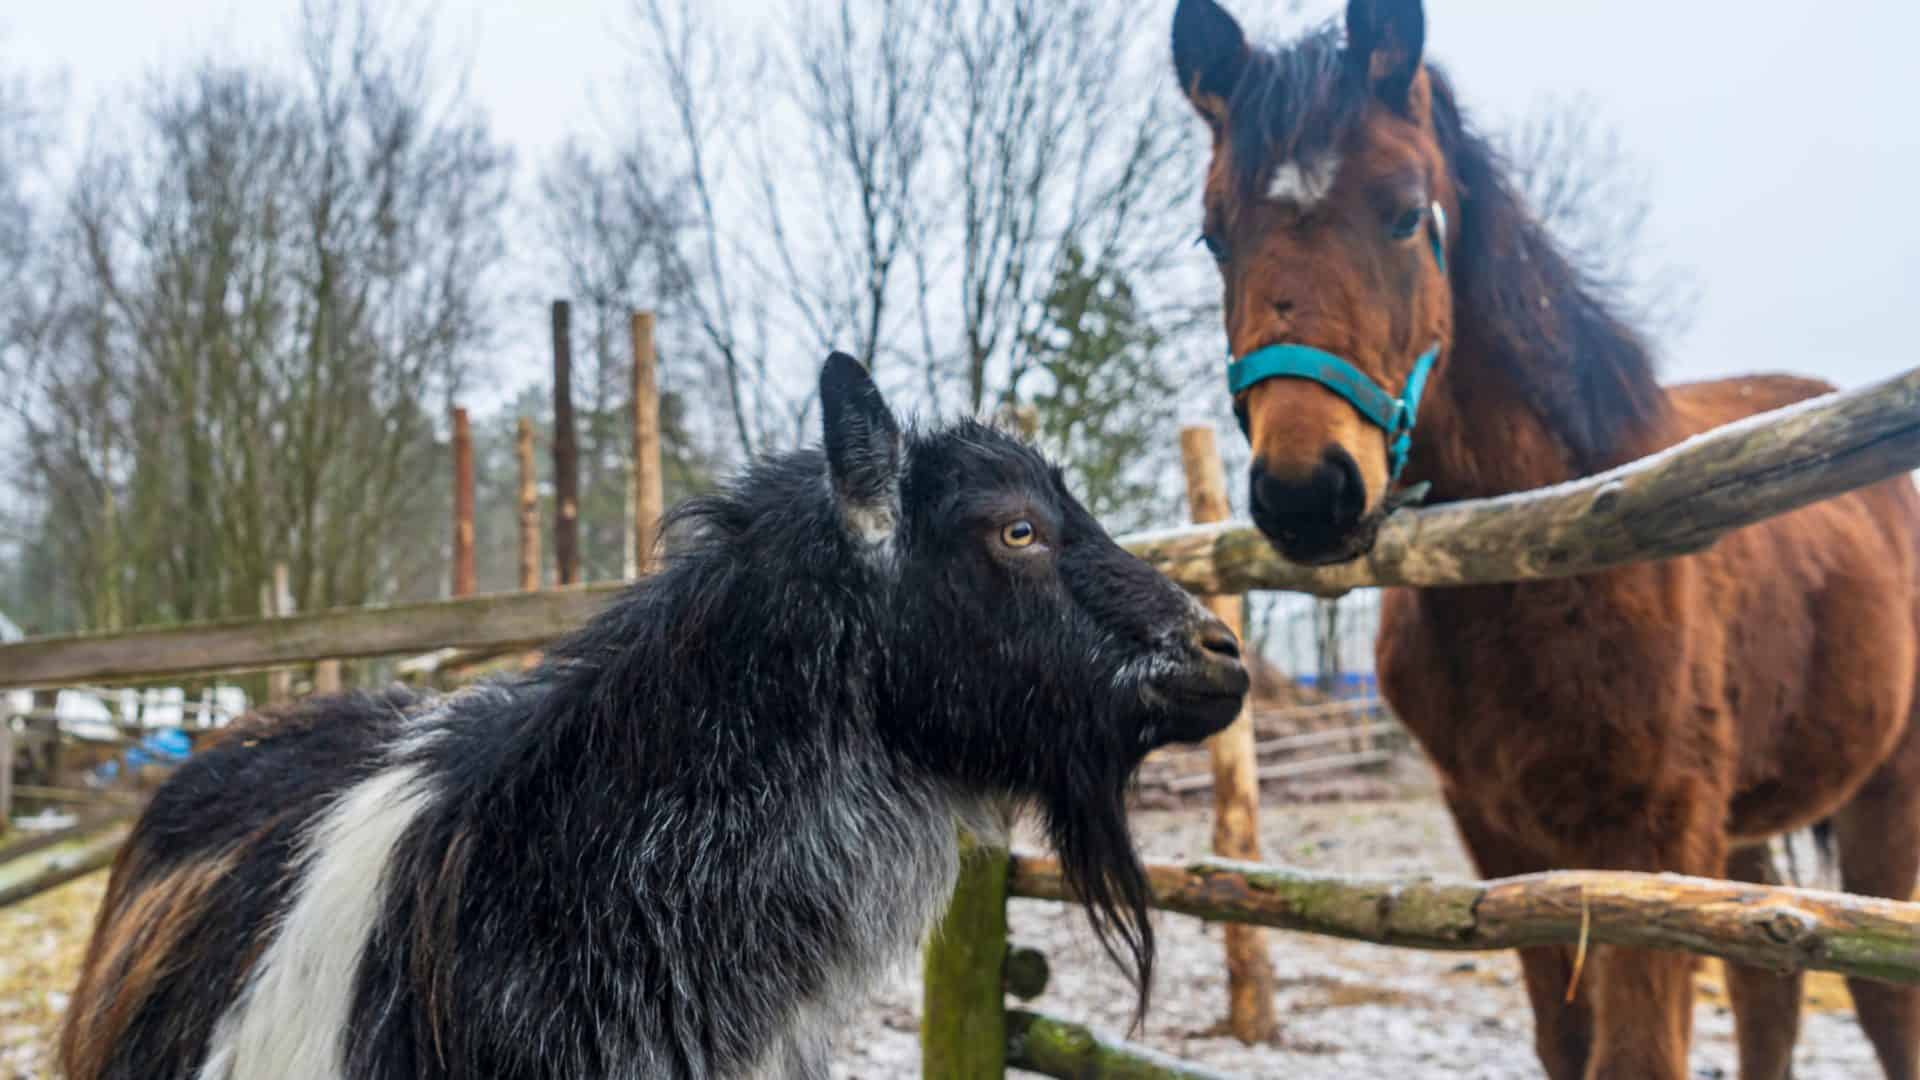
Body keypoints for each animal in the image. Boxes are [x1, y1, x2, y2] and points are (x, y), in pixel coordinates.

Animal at [1171, 2, 1920, 1077]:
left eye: (1406, 212)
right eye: (1214, 234)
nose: (1308, 493)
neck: (1535, 564)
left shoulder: (1651, 841)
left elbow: (1638, 1053)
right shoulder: (1502, 836)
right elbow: (1567, 1038)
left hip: (1883, 791)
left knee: (1881, 995)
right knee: (1769, 985)